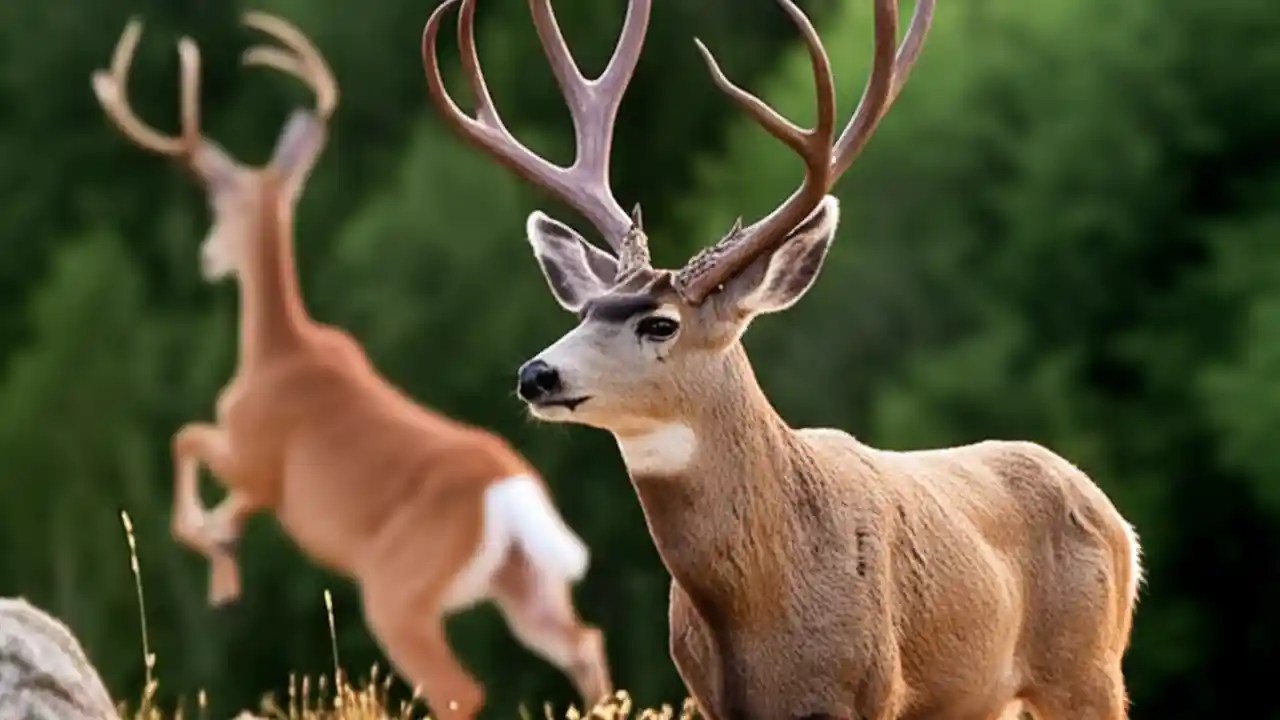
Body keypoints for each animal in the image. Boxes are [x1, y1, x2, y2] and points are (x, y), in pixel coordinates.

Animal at [91, 13, 611, 718]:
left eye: (219, 209)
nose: (206, 257)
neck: (277, 350)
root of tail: (511, 496)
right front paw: (223, 558)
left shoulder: (257, 464)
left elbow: (187, 443)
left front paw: (220, 567)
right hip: (523, 583)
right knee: (583, 642)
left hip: (400, 591)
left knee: (460, 688)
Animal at [424, 0, 1143, 718]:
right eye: (585, 313)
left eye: (660, 323)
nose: (536, 375)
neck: (759, 614)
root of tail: (1119, 524)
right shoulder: (713, 696)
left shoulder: (872, 688)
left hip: (1087, 668)